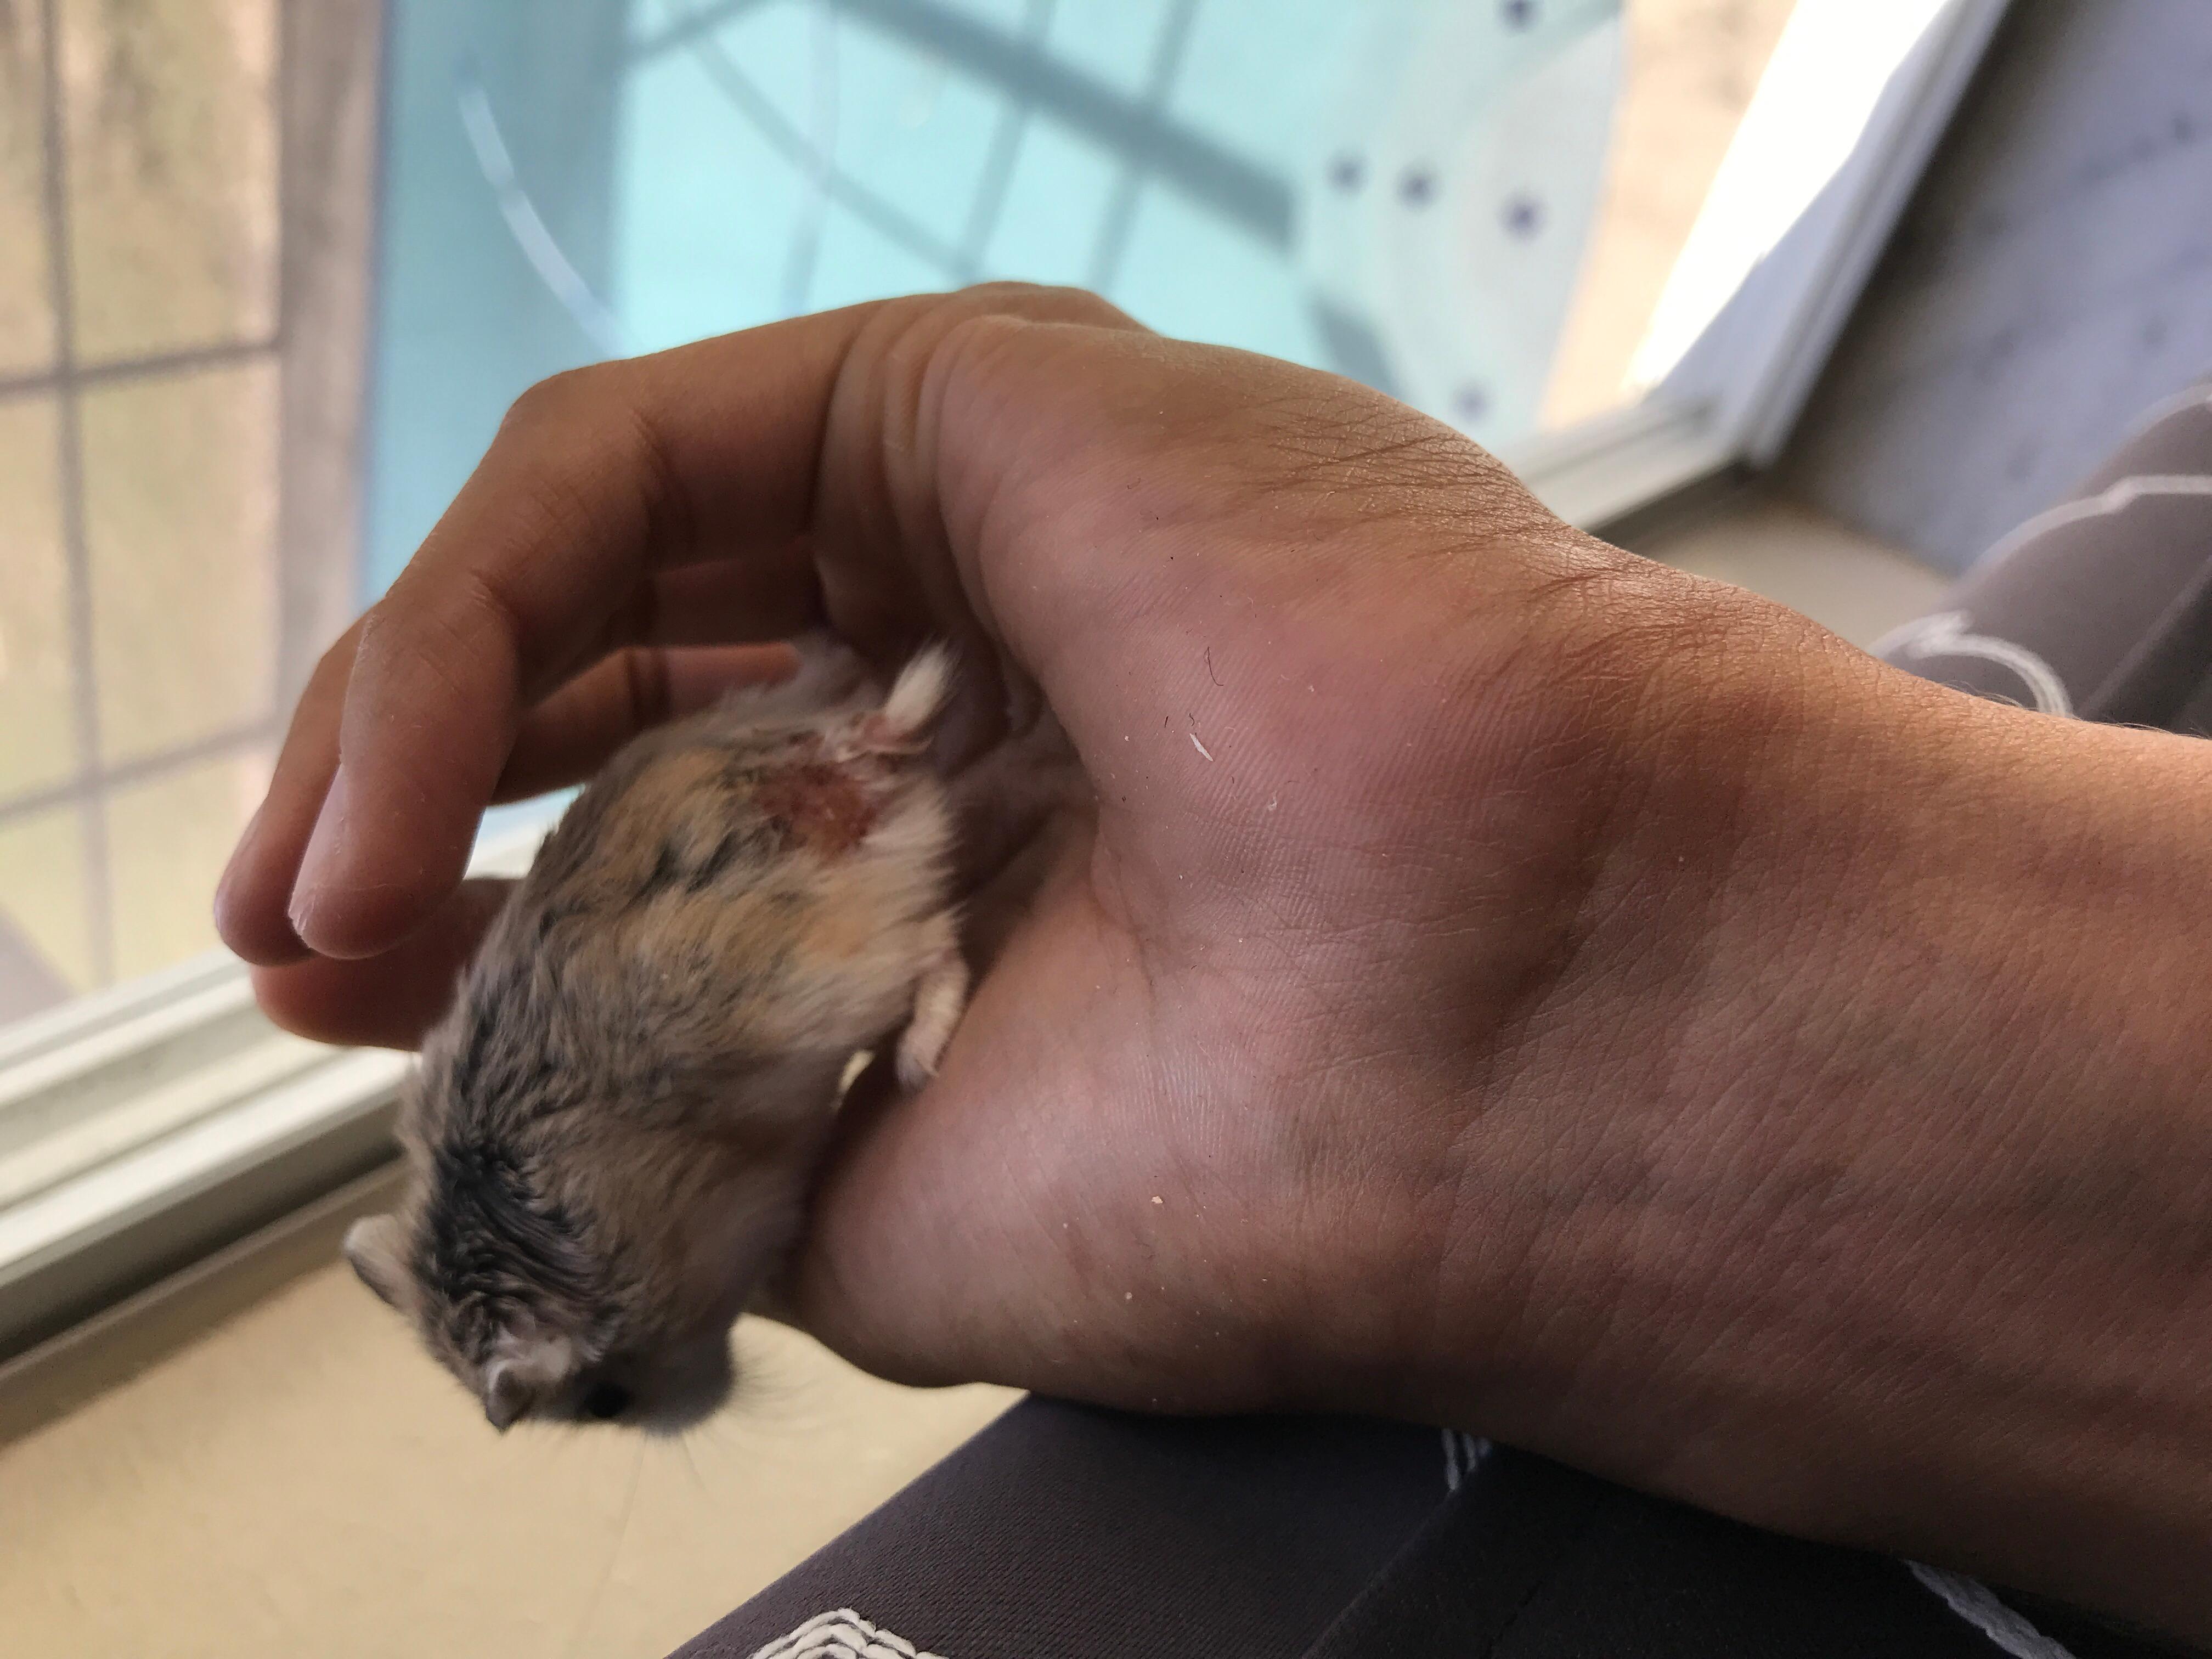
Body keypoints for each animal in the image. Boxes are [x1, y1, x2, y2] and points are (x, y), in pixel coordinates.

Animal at [339, 643, 968, 1434]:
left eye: (605, 1403)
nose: (705, 1410)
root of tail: (818, 763)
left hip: (838, 977)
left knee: (939, 950)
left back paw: (918, 1064)